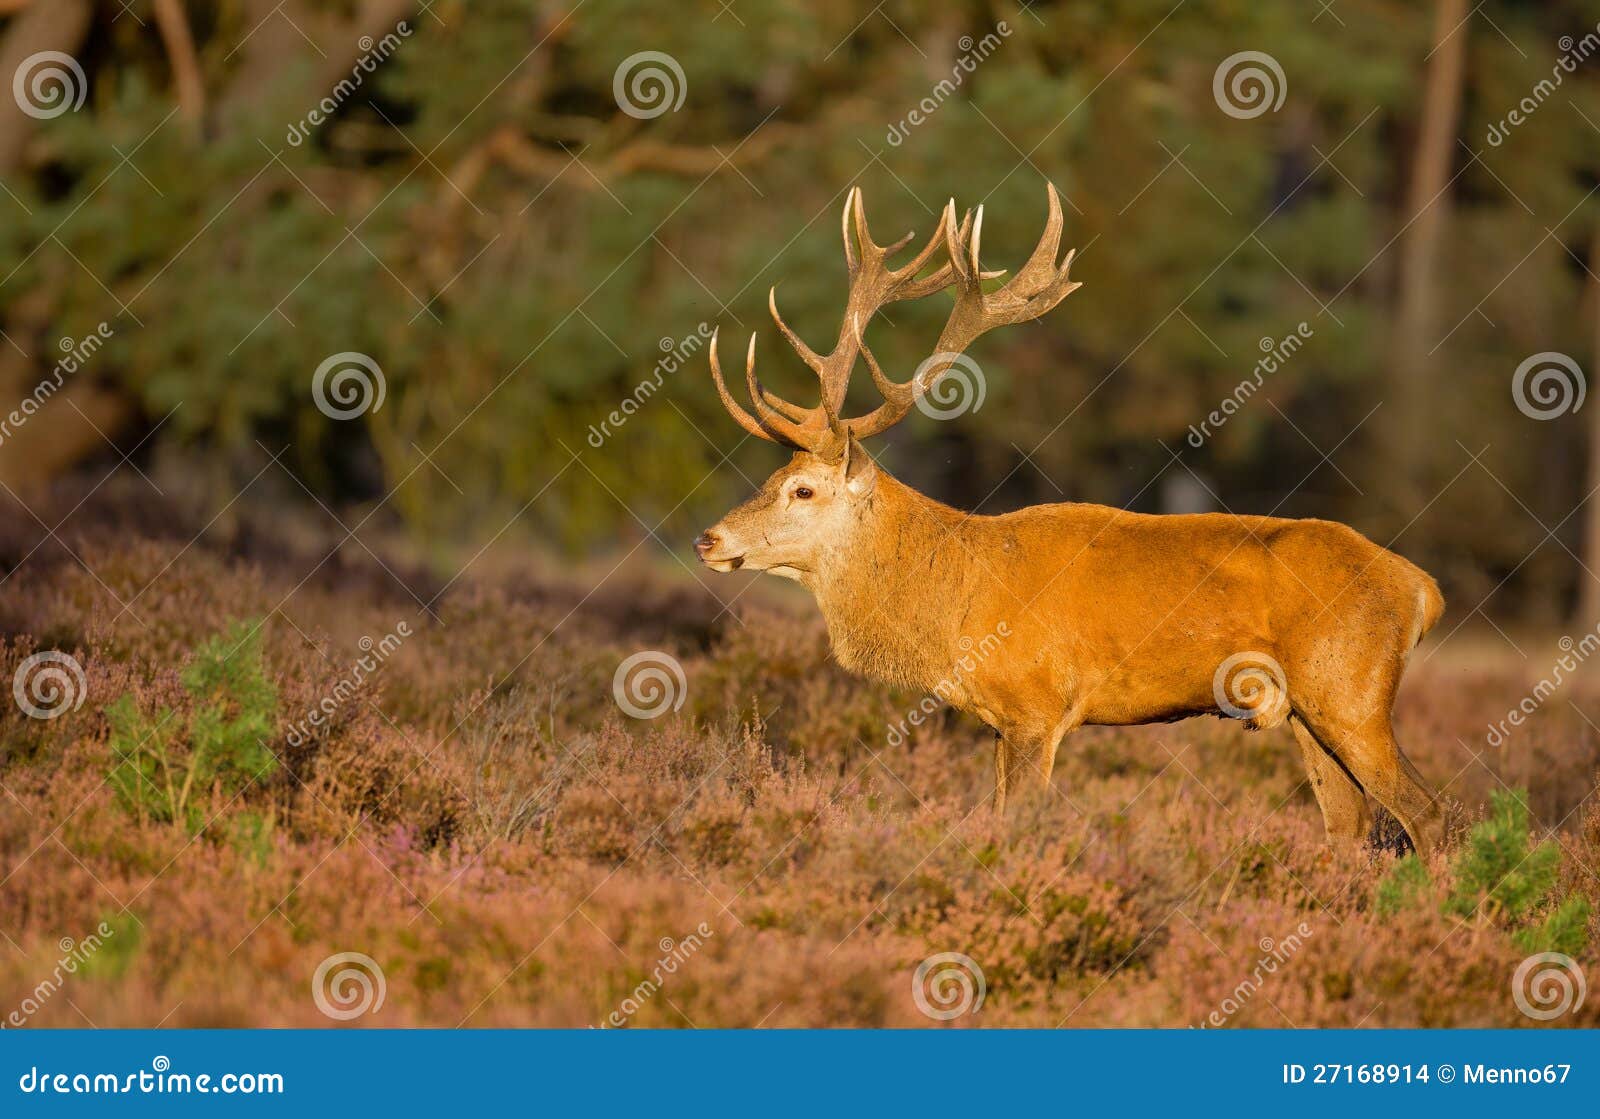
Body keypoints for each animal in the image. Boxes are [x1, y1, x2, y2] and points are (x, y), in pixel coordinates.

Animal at [694, 185, 1446, 858]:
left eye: (802, 490)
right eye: (771, 480)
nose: (708, 538)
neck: (955, 603)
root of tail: (1423, 589)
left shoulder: (1039, 704)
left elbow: (1021, 826)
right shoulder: (1000, 722)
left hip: (1350, 690)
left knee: (1428, 813)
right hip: (1308, 713)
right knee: (1350, 825)